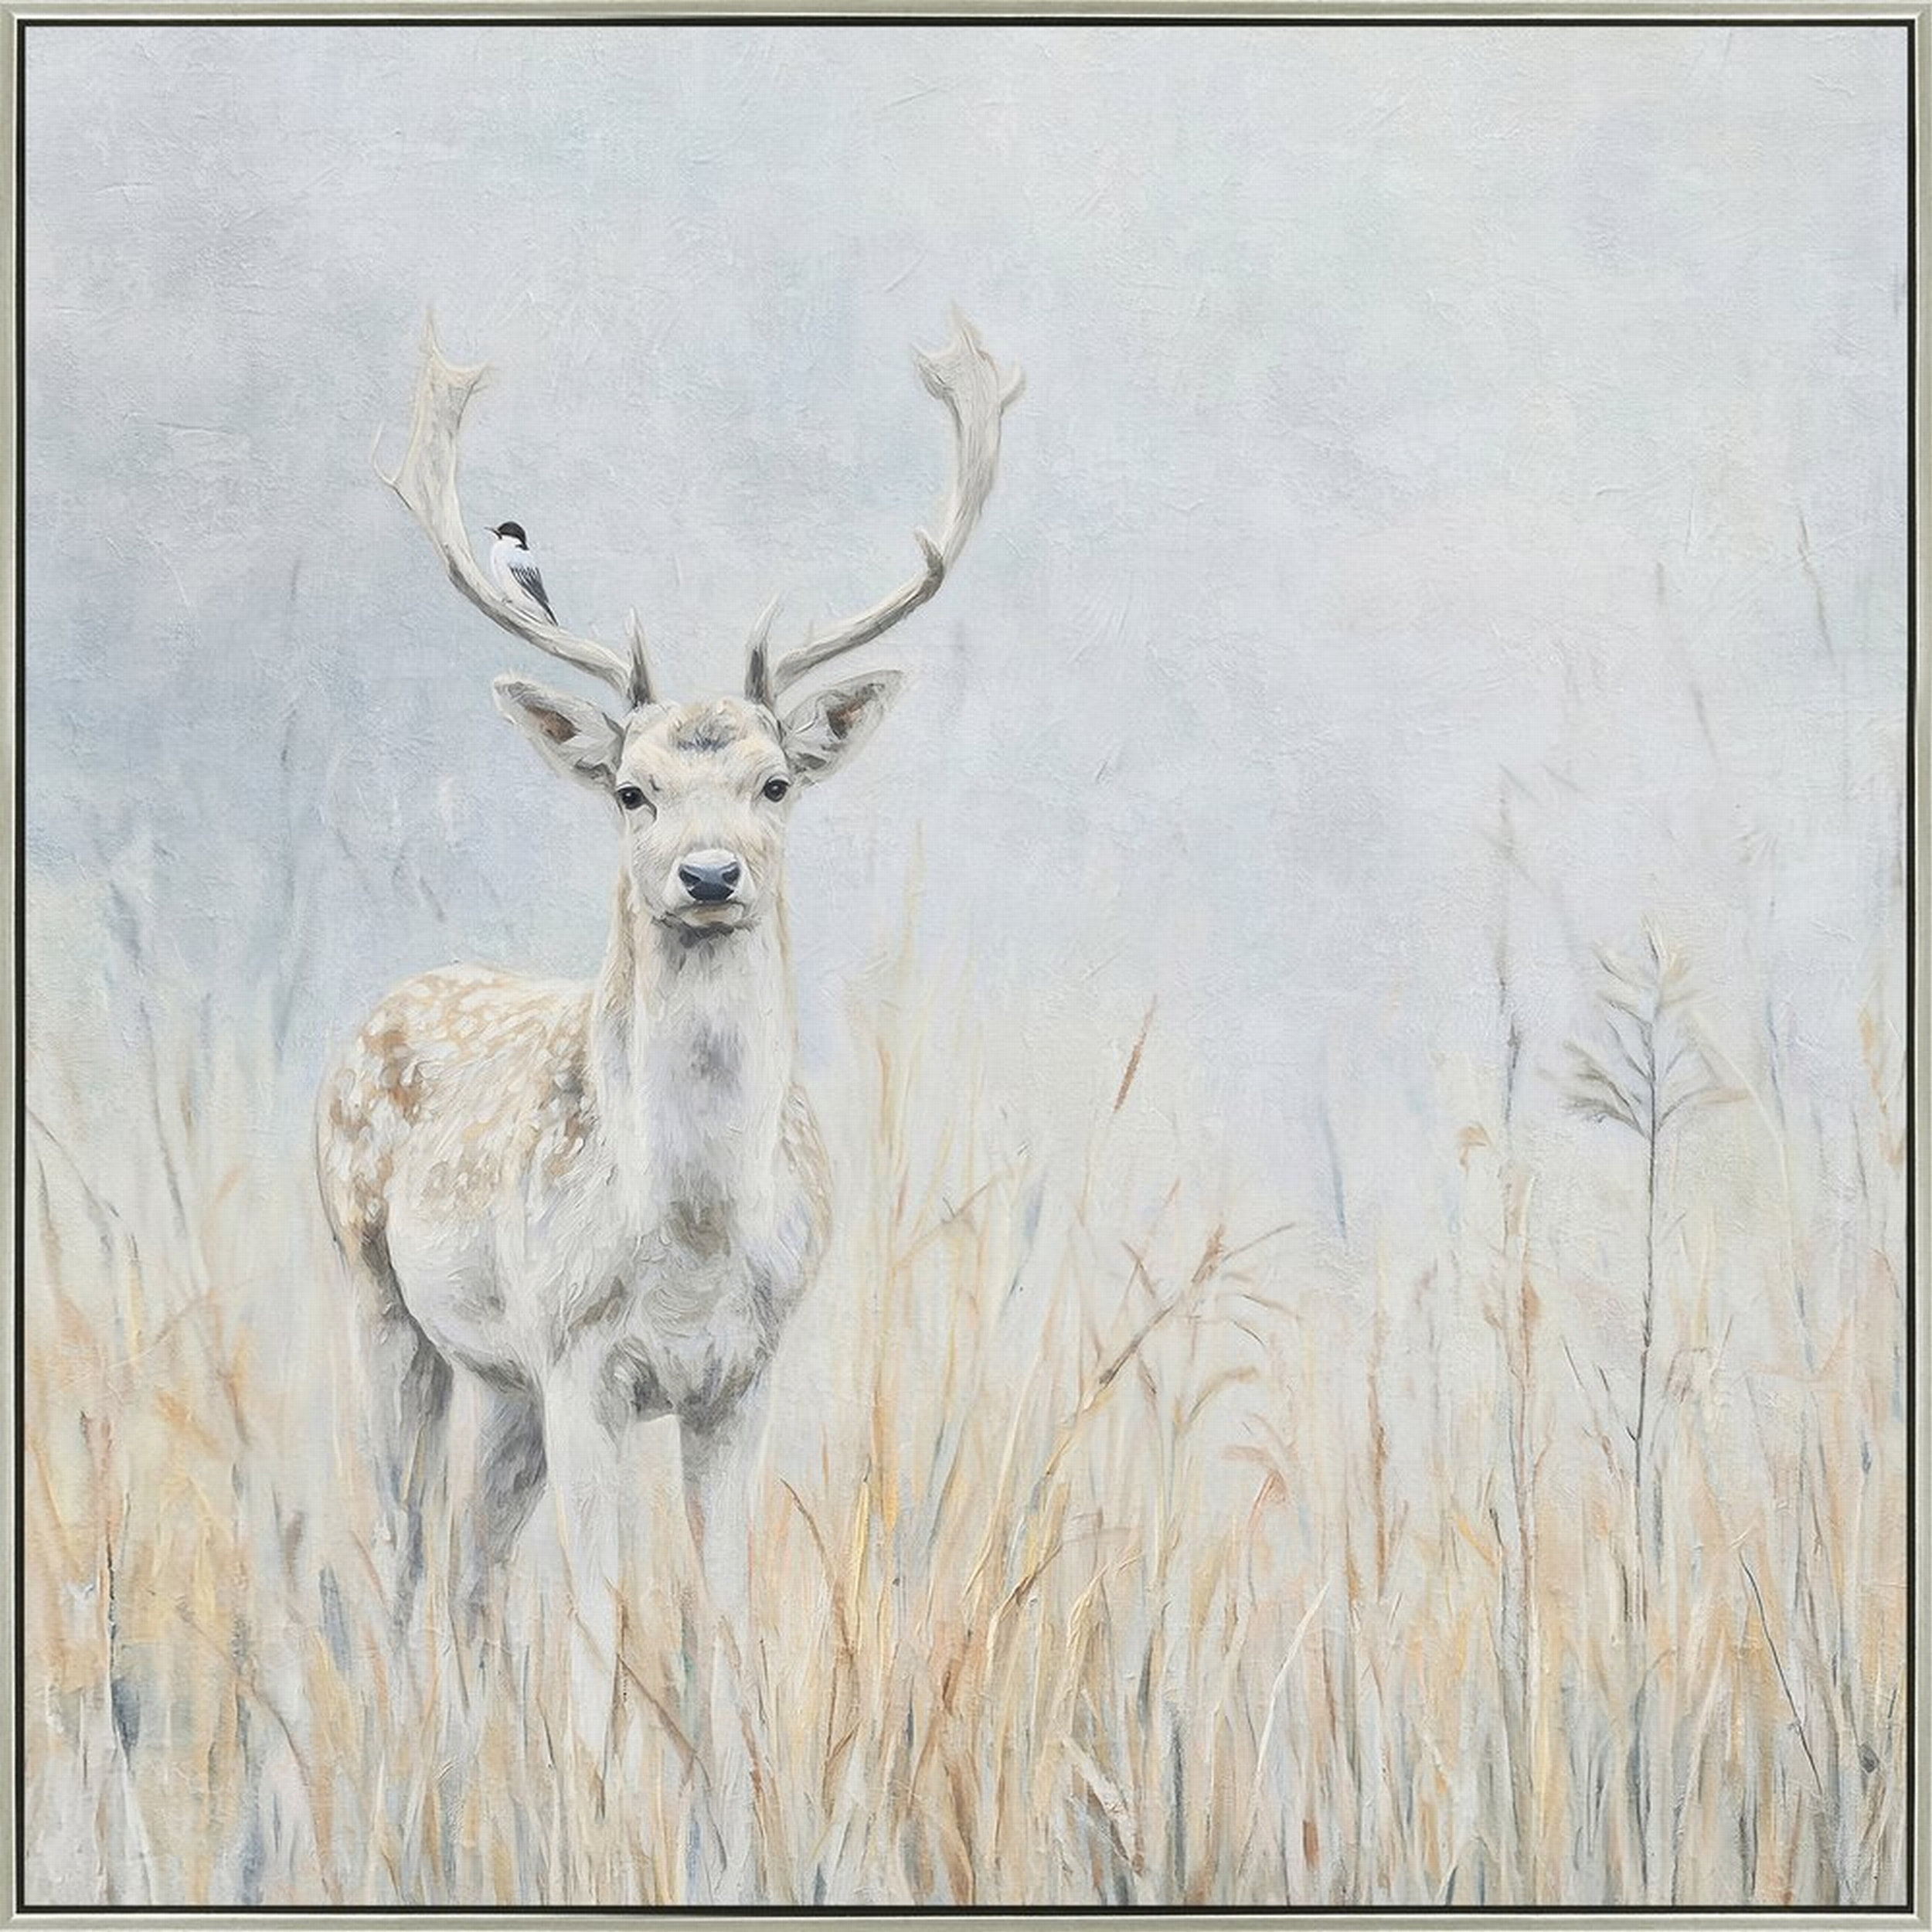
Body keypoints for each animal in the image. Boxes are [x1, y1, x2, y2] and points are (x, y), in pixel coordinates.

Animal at [314, 315, 1020, 1838]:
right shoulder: (587, 1359)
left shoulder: (739, 1375)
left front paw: (735, 1816)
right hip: (380, 1296)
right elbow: (600, 1612)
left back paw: (467, 1775)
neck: (691, 1237)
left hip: (506, 1380)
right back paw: (408, 1779)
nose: (707, 876)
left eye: (775, 785)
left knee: (472, 1568)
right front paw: (598, 1809)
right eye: (631, 790)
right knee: (403, 1550)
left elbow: (721, 1610)